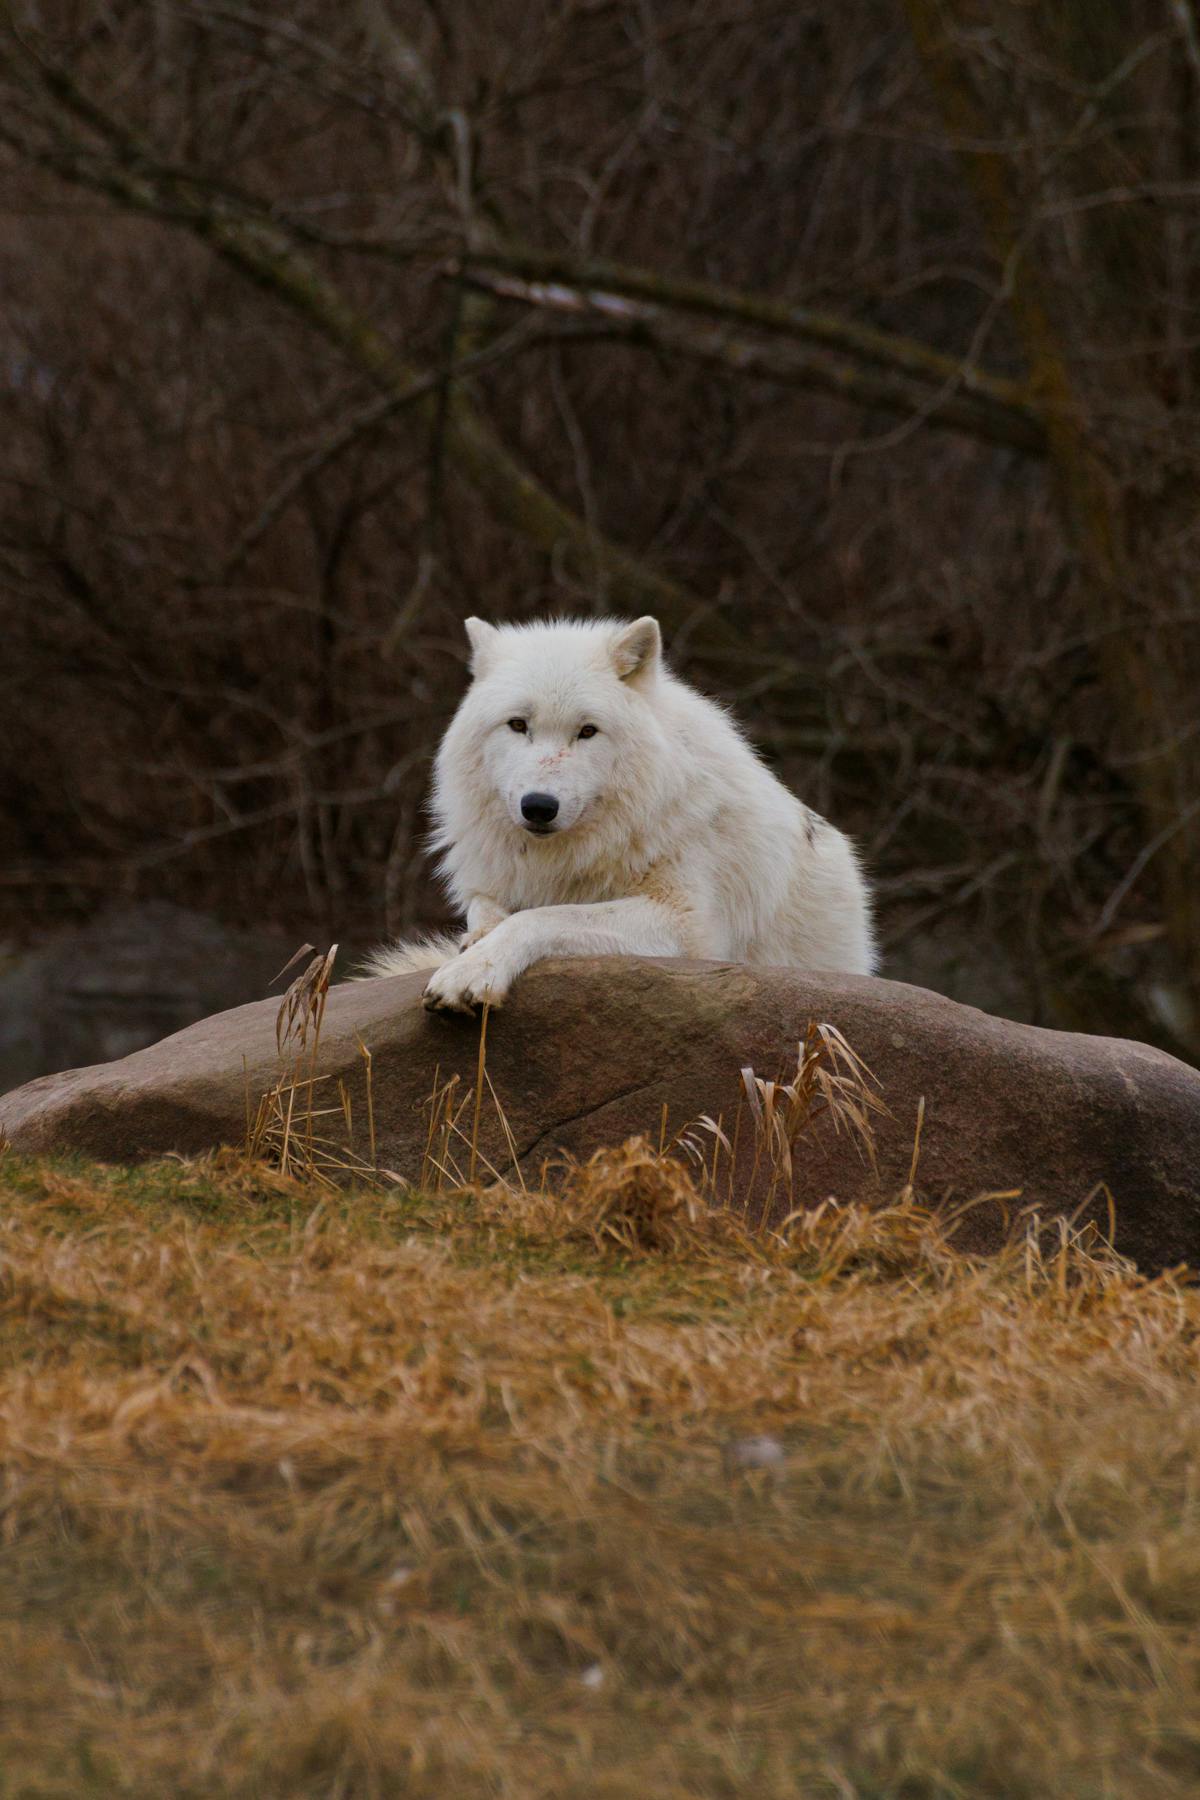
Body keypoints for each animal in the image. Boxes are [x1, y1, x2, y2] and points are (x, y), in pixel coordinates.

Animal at [364, 614, 876, 1012]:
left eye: (588, 731)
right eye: (518, 725)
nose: (539, 806)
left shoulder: (686, 924)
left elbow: (541, 917)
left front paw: (473, 970)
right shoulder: (493, 882)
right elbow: (486, 909)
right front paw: (474, 943)